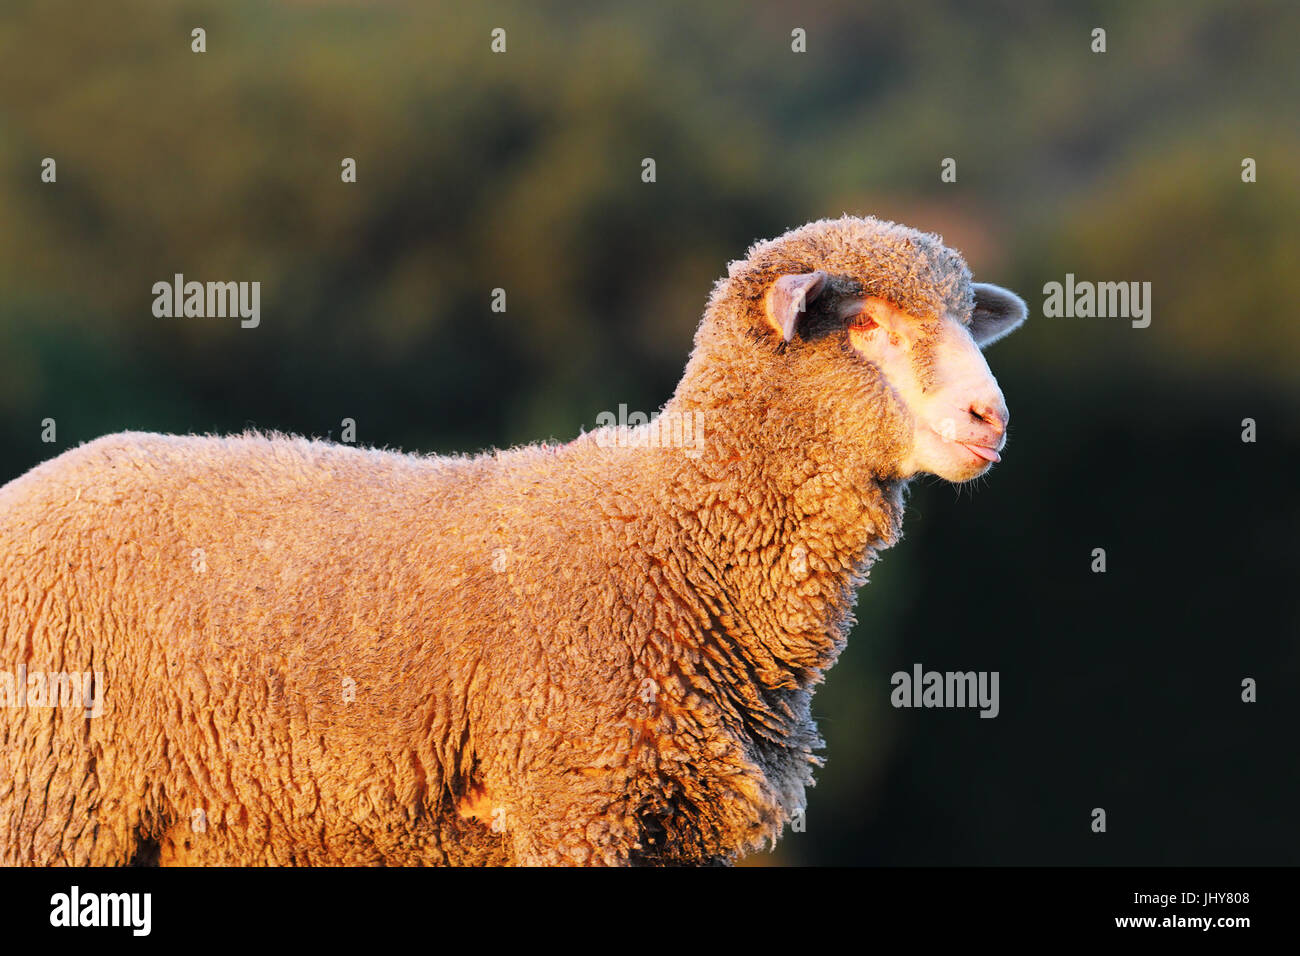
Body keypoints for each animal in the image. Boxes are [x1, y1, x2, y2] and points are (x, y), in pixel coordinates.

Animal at [0, 214, 1027, 866]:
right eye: (866, 325)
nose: (993, 419)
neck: (676, 527)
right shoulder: (576, 798)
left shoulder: (675, 823)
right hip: (48, 799)